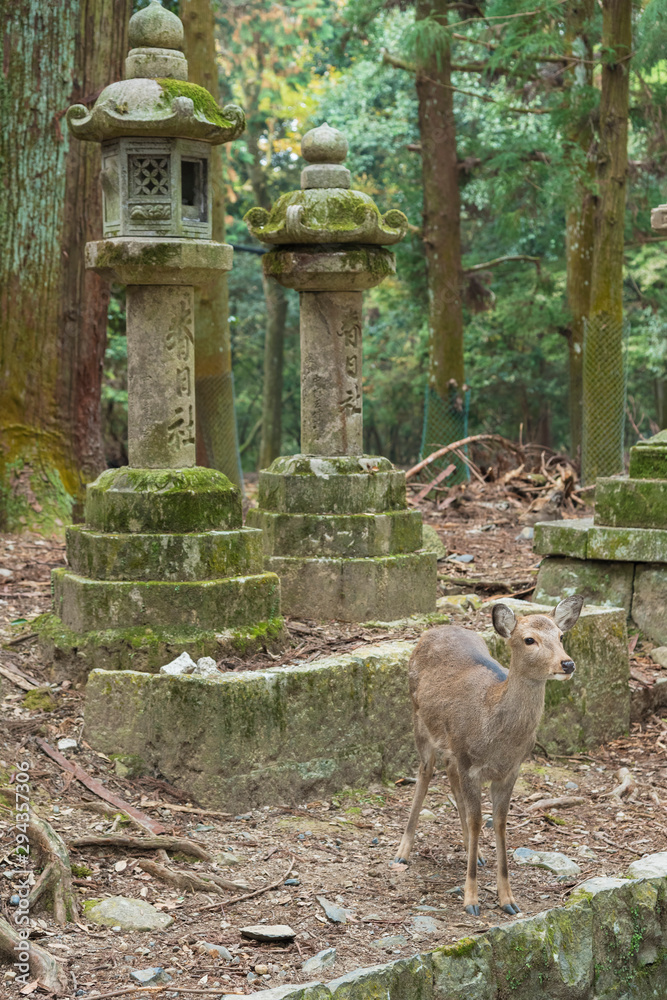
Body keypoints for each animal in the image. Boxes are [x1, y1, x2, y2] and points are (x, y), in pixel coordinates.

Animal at [394, 595, 583, 916]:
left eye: (560, 635)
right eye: (529, 639)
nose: (567, 663)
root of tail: (434, 629)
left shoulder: (509, 770)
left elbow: (499, 822)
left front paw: (508, 899)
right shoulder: (471, 764)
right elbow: (476, 820)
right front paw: (471, 900)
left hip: (452, 748)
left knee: (449, 772)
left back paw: (477, 851)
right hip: (419, 720)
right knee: (425, 771)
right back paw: (402, 852)